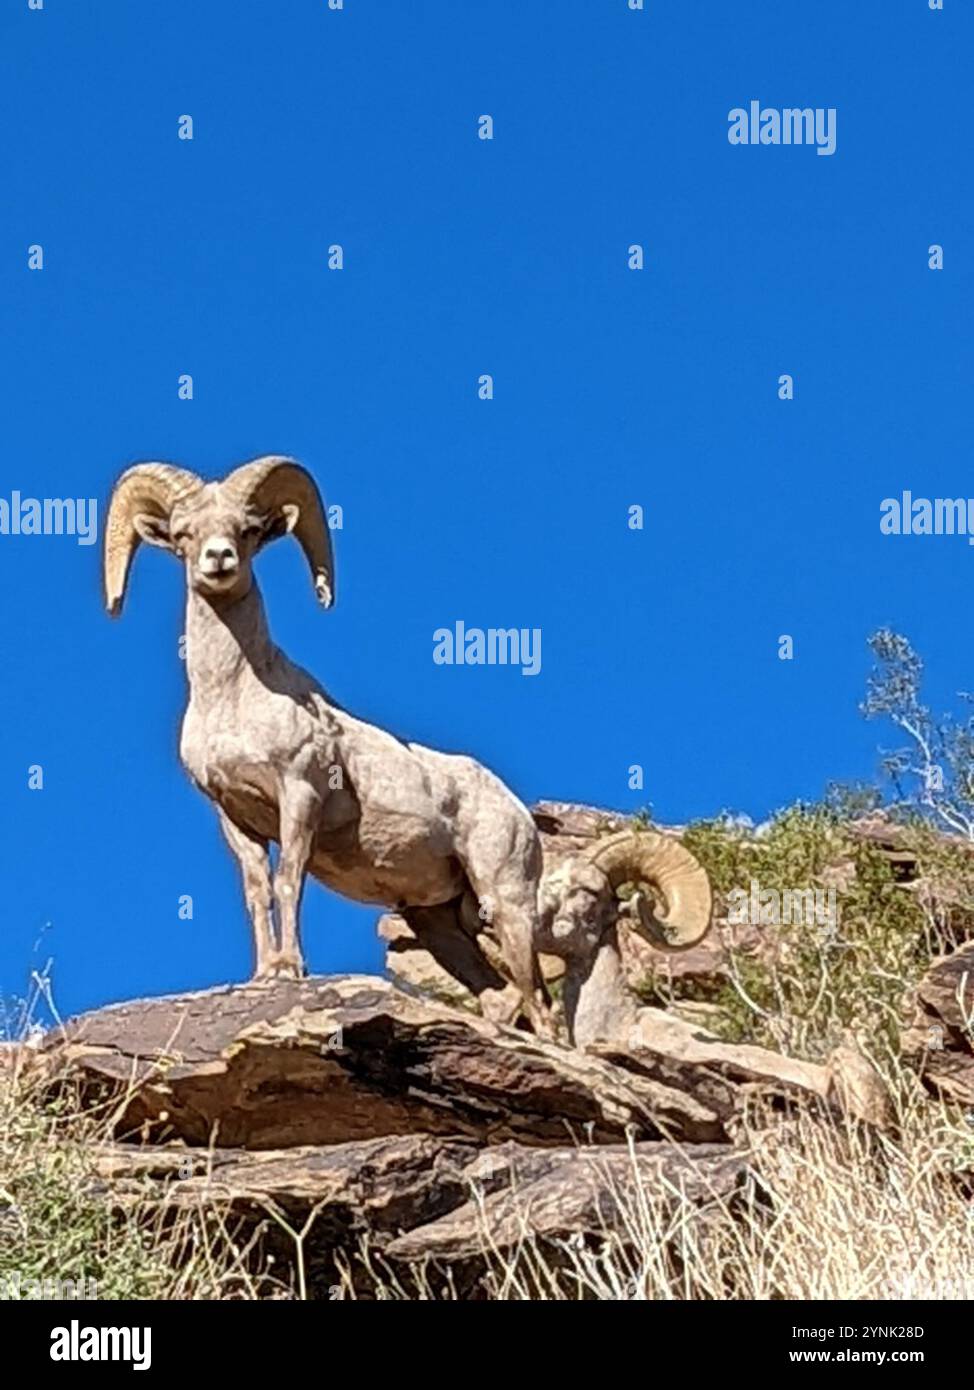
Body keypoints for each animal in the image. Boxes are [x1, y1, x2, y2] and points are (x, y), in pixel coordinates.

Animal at [103, 456, 712, 1039]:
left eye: (248, 530)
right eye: (184, 534)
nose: (219, 561)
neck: (233, 695)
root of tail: (515, 812)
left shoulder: (299, 796)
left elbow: (288, 880)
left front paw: (289, 969)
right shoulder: (235, 817)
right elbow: (258, 891)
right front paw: (262, 973)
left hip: (506, 902)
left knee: (538, 1001)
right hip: (439, 920)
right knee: (498, 996)